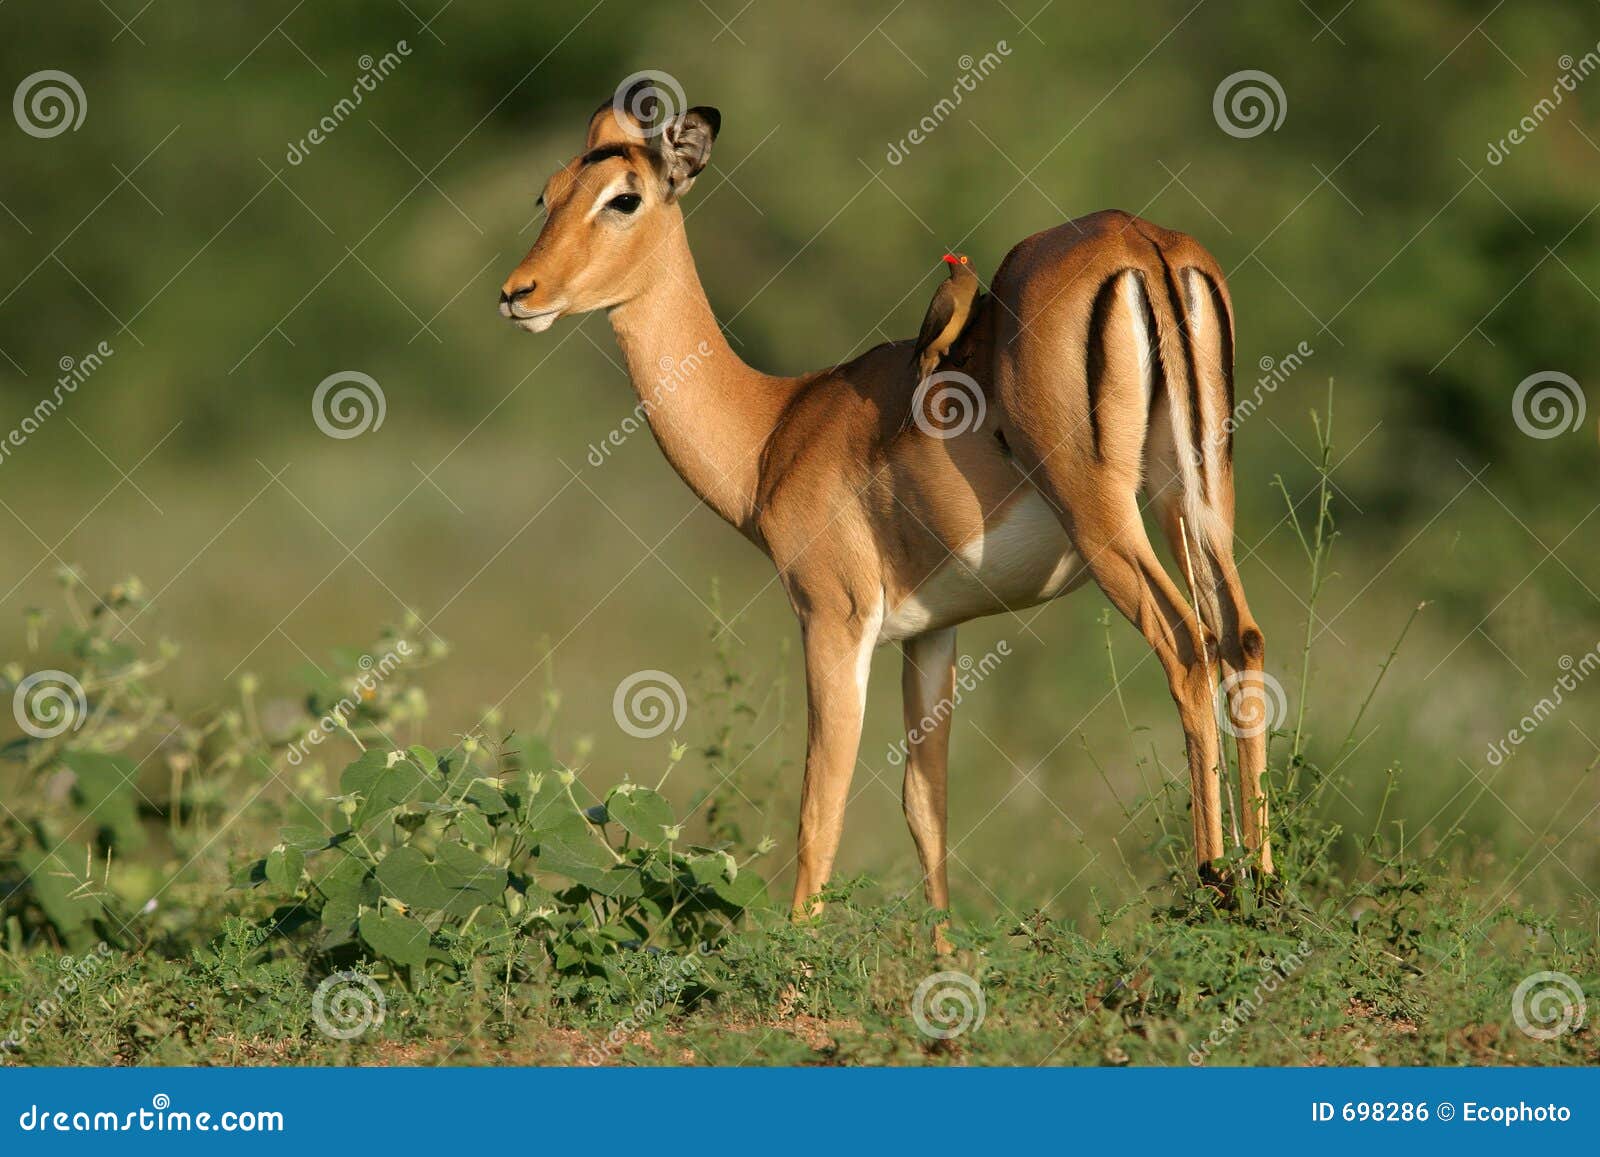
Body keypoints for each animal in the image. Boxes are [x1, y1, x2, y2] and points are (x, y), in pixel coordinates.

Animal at [498, 85, 1273, 941]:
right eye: (547, 193)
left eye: (624, 198)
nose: (518, 293)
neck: (774, 431)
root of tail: (1145, 244)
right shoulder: (932, 634)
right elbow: (925, 807)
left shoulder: (834, 621)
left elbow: (821, 810)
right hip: (1196, 496)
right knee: (1241, 640)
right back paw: (1265, 886)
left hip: (1104, 515)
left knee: (1188, 646)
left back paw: (1216, 886)